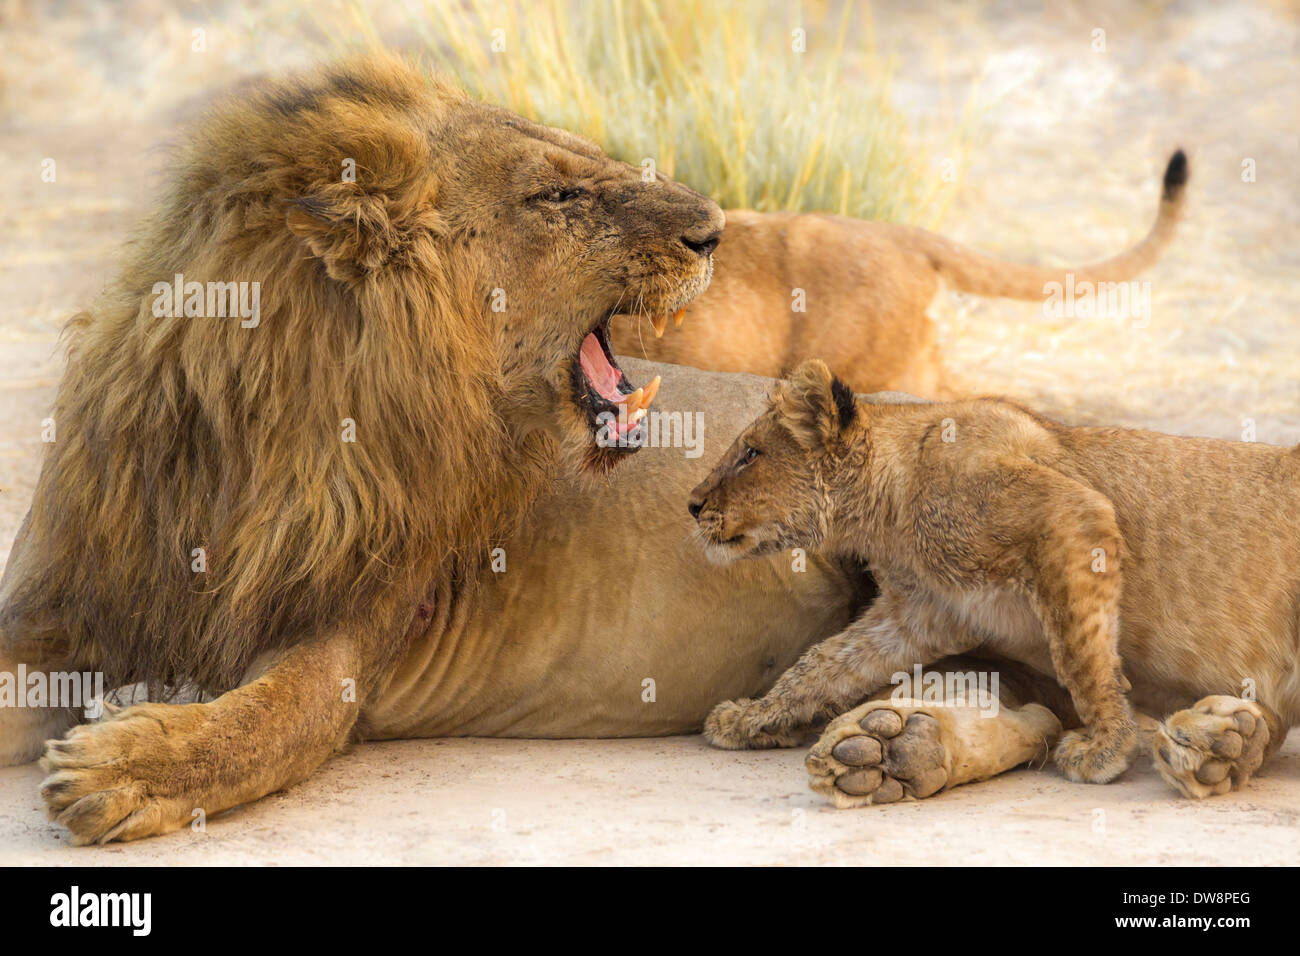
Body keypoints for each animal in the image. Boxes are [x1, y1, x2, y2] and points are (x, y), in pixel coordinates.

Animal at [688, 358, 1298, 805]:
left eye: (749, 453)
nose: (691, 504)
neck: (888, 515)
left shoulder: (1071, 514)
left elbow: (1081, 657)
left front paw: (1105, 748)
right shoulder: (919, 615)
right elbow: (821, 666)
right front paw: (751, 716)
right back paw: (1219, 746)